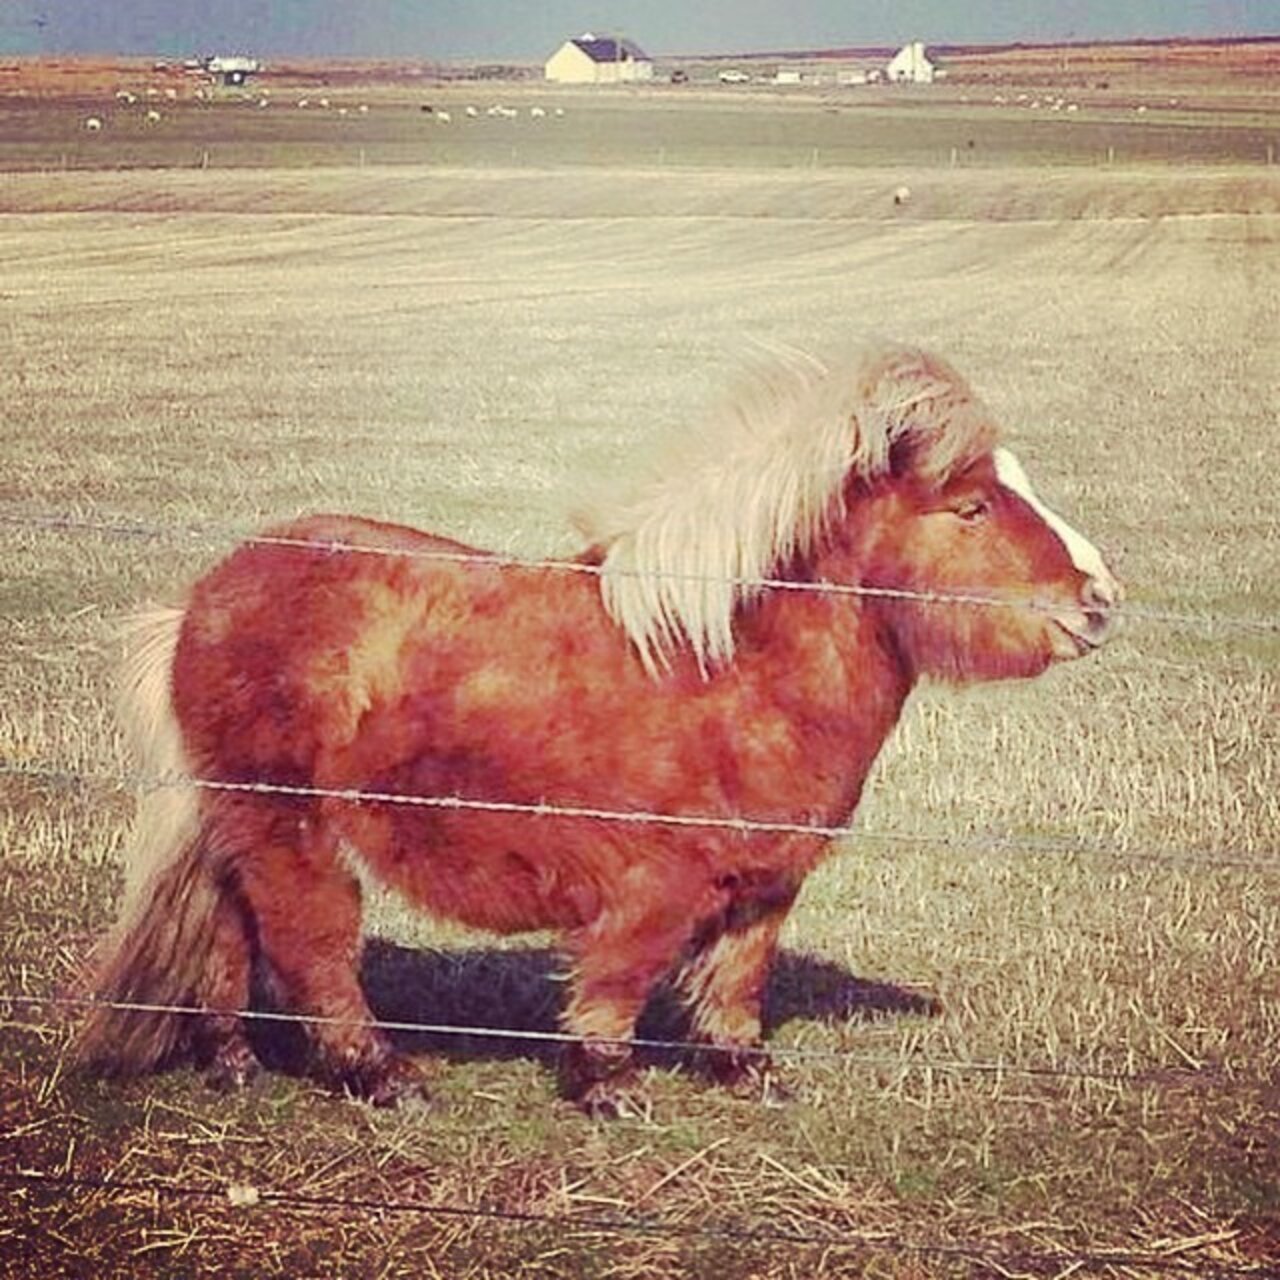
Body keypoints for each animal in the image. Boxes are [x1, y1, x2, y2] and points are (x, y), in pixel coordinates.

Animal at [77, 340, 1120, 1115]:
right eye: (972, 508)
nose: (1101, 600)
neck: (728, 664)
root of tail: (206, 595)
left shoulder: (765, 882)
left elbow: (738, 982)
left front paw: (746, 1074)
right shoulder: (654, 886)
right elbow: (618, 983)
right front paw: (607, 1087)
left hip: (237, 827)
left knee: (227, 936)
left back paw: (232, 1063)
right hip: (285, 826)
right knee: (310, 945)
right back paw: (381, 1076)